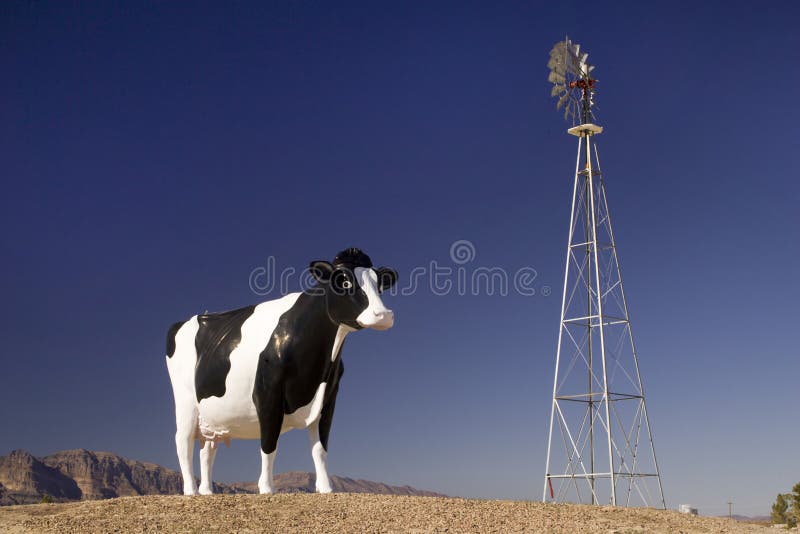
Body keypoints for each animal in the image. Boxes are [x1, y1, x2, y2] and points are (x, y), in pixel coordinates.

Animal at [165, 248, 397, 496]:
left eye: (379, 284)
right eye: (344, 281)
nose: (383, 314)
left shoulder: (328, 397)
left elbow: (320, 448)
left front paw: (326, 488)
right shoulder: (268, 393)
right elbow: (269, 444)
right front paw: (267, 488)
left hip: (212, 415)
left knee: (207, 449)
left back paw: (207, 491)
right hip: (185, 401)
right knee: (183, 441)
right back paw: (190, 490)